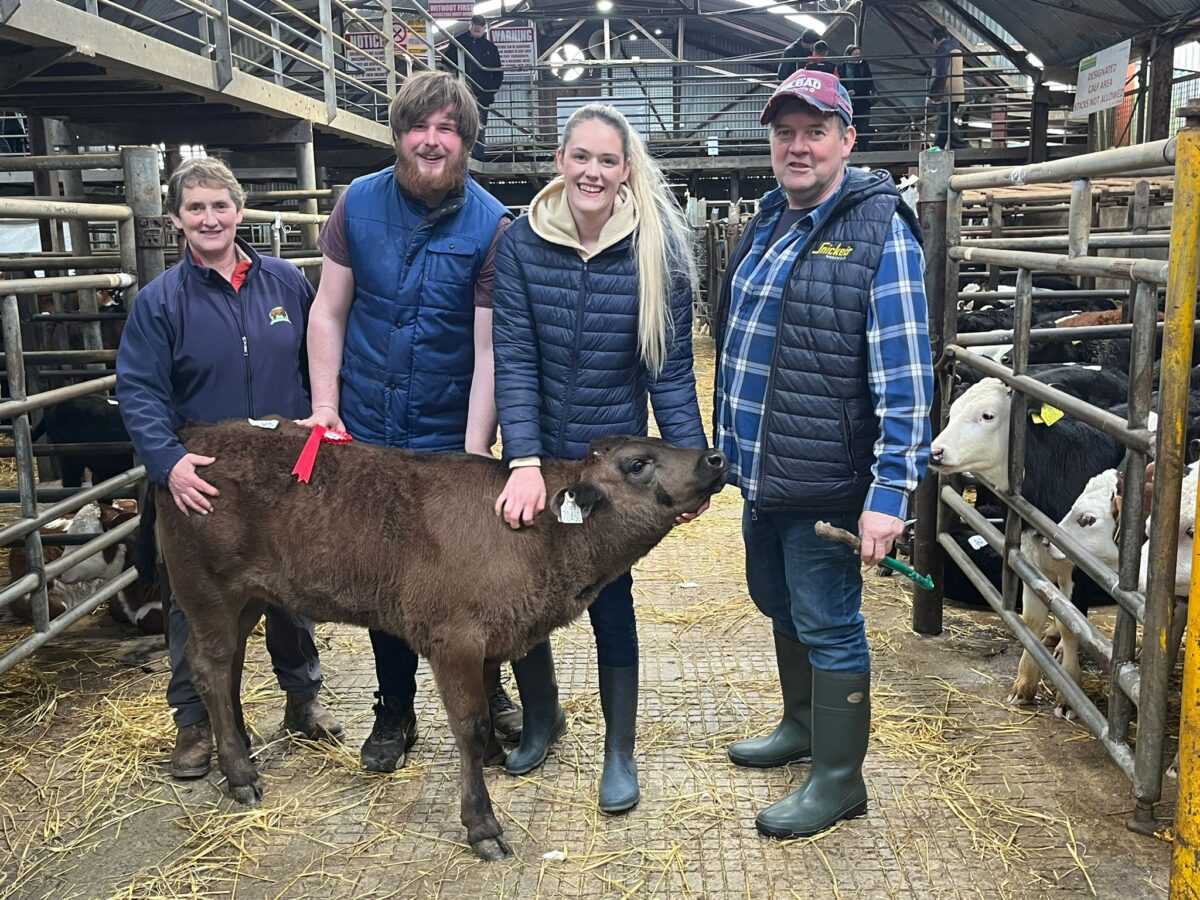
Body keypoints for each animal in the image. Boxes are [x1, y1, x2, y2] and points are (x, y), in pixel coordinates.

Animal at [151, 420, 727, 861]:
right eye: (638, 463)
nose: (715, 456)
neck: (538, 539)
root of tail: (195, 434)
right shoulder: (454, 641)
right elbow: (469, 727)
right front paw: (483, 825)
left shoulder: (491, 638)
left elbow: (488, 710)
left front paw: (496, 754)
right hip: (207, 592)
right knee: (208, 668)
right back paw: (239, 773)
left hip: (247, 598)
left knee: (228, 670)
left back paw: (242, 747)